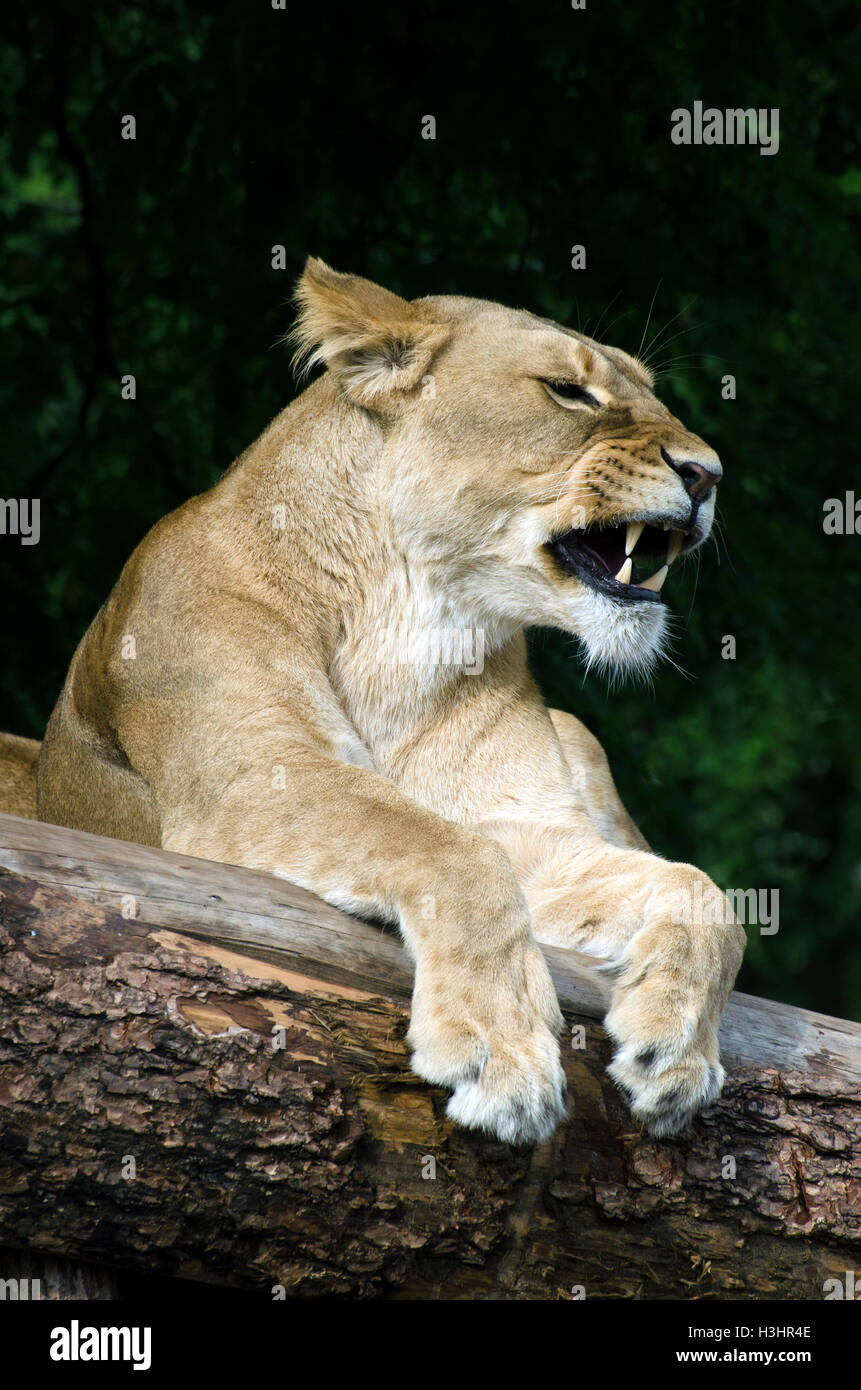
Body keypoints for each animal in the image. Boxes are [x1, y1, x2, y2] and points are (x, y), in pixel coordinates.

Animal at [0, 258, 745, 1142]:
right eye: (569, 391)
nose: (708, 475)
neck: (410, 622)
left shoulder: (527, 828)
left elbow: (706, 894)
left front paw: (676, 1052)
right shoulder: (254, 779)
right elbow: (453, 852)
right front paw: (502, 1053)